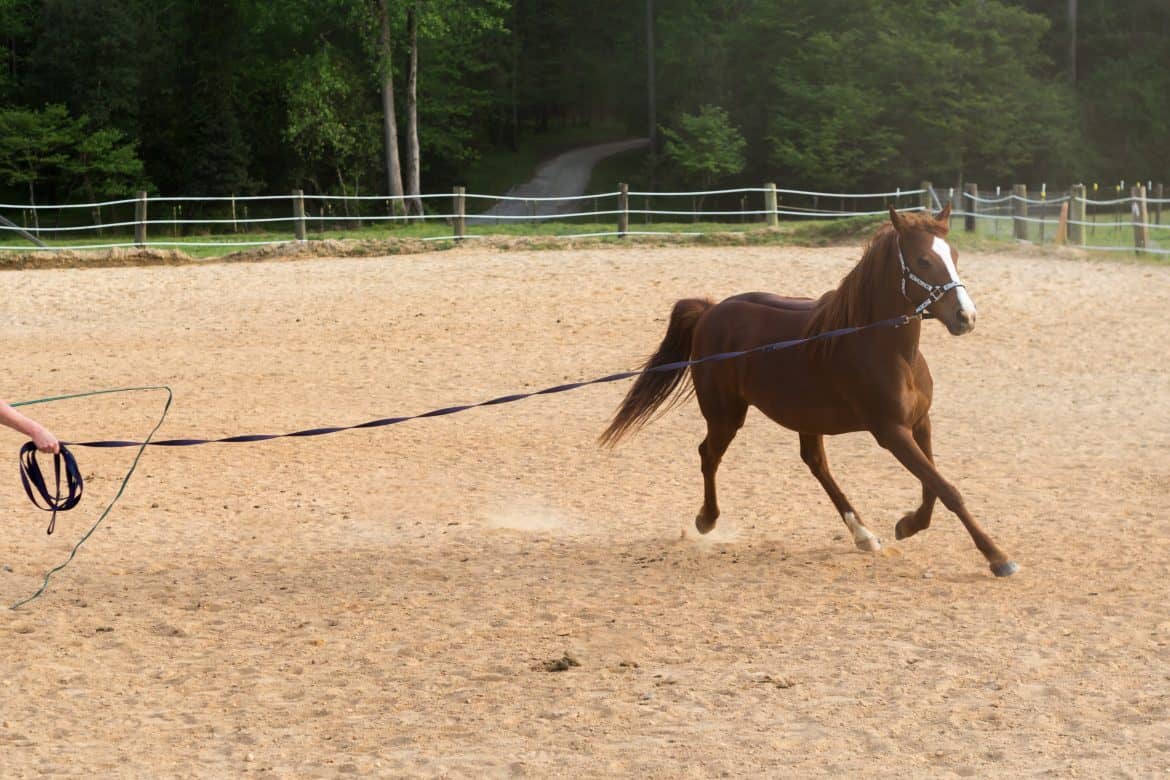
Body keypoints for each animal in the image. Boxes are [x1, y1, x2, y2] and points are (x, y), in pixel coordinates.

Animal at [600, 204, 1018, 577]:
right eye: (922, 260)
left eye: (955, 256)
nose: (966, 317)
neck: (880, 344)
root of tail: (710, 311)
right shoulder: (891, 432)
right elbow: (946, 489)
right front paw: (998, 558)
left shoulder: (919, 422)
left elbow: (933, 485)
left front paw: (906, 525)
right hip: (725, 414)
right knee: (709, 455)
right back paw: (707, 520)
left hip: (802, 416)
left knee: (815, 464)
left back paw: (864, 535)